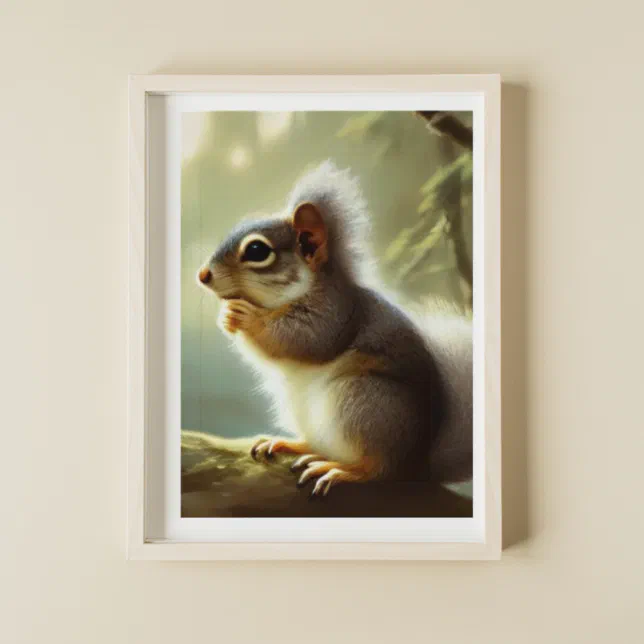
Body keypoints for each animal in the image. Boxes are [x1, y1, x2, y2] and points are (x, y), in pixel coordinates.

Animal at [197, 161, 472, 497]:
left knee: (380, 469)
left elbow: (304, 340)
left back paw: (342, 471)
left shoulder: (336, 311)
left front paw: (246, 317)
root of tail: (418, 467)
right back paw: (290, 444)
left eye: (257, 250)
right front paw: (227, 316)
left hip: (366, 403)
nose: (203, 275)